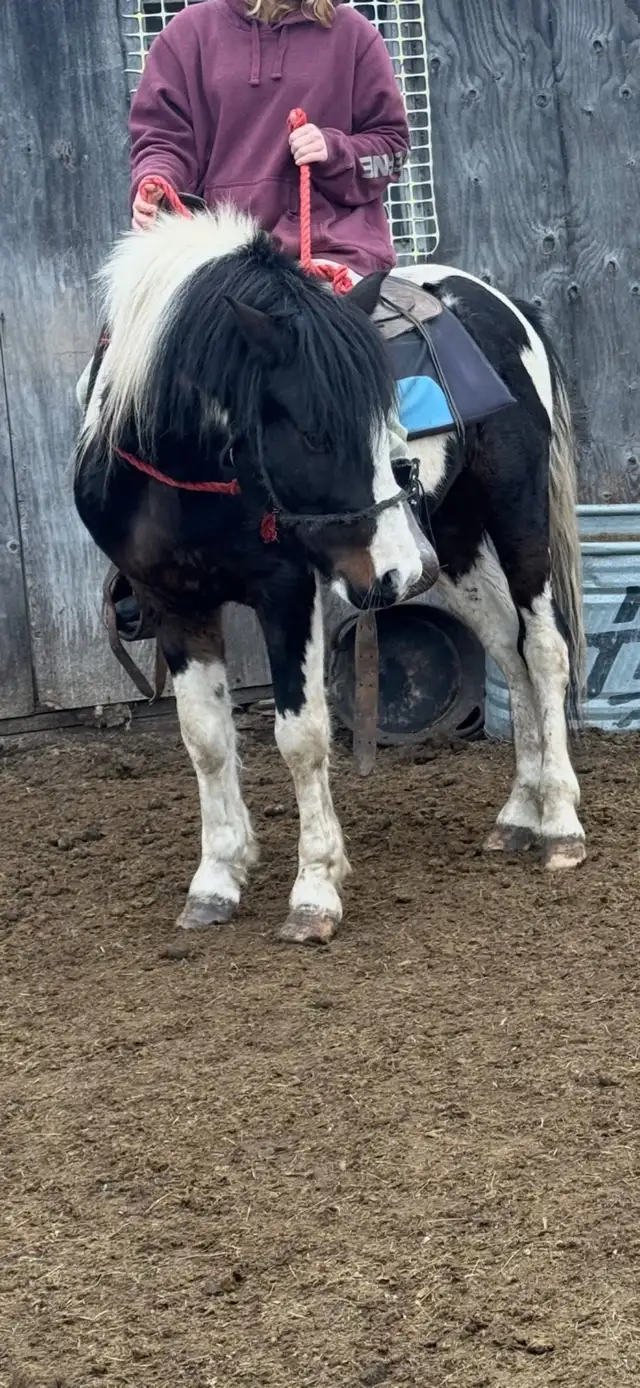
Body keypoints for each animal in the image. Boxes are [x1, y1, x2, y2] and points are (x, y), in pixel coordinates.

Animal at [74, 205, 586, 945]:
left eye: (388, 421)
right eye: (315, 434)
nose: (400, 574)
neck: (190, 479)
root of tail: (497, 301)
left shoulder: (285, 592)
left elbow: (302, 736)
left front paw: (314, 890)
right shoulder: (172, 601)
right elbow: (206, 740)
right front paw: (216, 879)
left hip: (517, 513)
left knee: (544, 651)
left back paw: (561, 824)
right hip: (455, 539)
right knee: (507, 653)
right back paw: (520, 814)